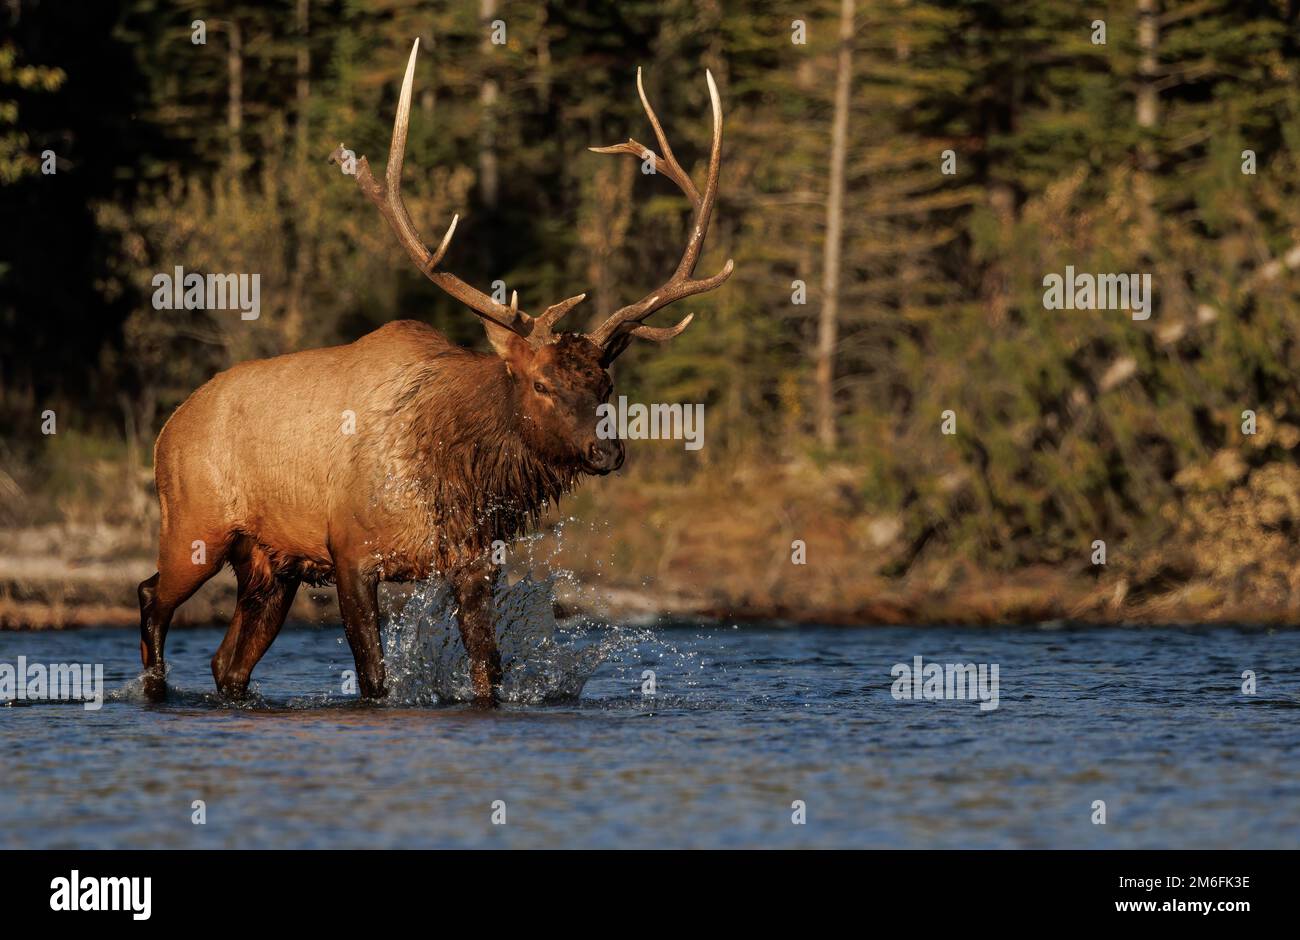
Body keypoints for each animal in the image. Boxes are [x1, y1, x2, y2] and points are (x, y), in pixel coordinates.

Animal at [137, 39, 732, 706]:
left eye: (605, 385)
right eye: (541, 383)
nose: (606, 451)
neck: (452, 473)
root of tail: (168, 428)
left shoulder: (473, 560)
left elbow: (487, 670)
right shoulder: (349, 551)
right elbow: (373, 677)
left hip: (270, 563)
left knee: (228, 664)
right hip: (196, 523)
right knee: (151, 597)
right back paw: (153, 688)